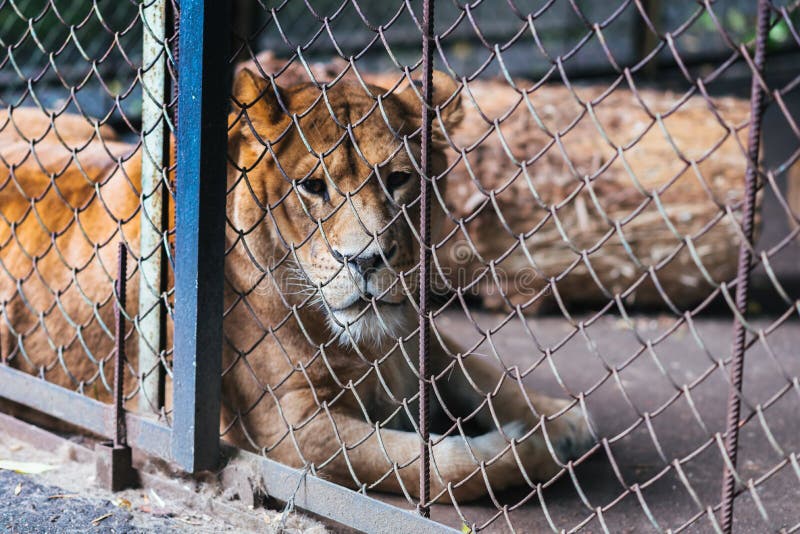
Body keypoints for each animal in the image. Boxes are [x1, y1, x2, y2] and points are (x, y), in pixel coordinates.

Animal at [0, 70, 592, 502]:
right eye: (313, 187)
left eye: (399, 179)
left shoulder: (416, 336)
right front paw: (534, 450)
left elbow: (483, 372)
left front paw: (561, 418)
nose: (366, 260)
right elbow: (438, 464)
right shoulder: (286, 428)